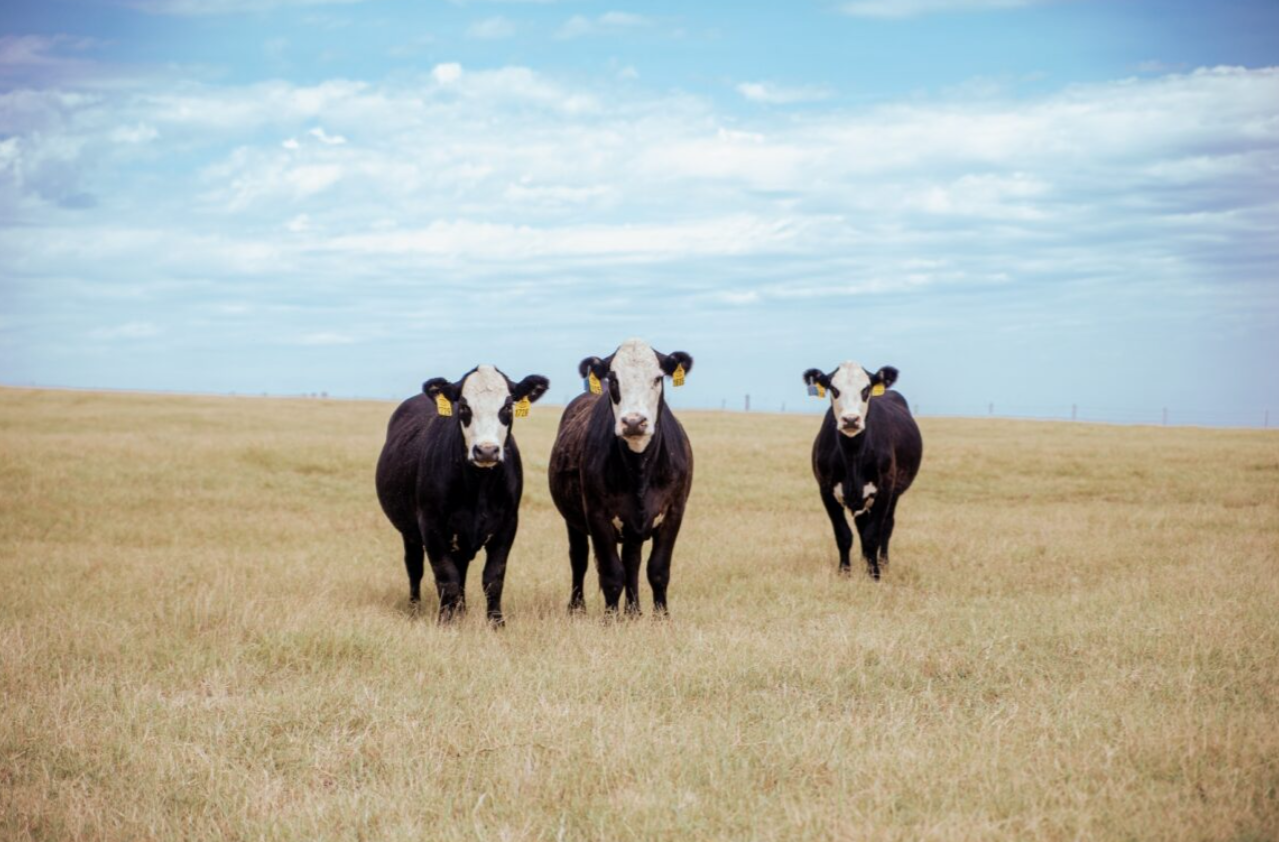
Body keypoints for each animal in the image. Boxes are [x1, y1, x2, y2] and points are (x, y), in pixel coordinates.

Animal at [375, 365, 549, 625]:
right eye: (465, 407)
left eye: (507, 407)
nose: (486, 450)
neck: (479, 488)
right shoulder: (431, 525)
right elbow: (447, 578)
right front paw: (446, 623)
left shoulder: (508, 524)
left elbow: (493, 578)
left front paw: (496, 624)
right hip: (410, 532)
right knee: (415, 569)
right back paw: (416, 609)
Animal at [548, 339, 694, 617]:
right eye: (614, 379)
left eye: (658, 378)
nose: (634, 422)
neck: (640, 470)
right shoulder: (597, 514)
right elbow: (611, 575)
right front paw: (610, 620)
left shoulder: (675, 511)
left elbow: (657, 570)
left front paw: (661, 618)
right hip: (573, 521)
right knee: (579, 558)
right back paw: (577, 608)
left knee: (632, 561)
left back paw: (634, 612)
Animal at [802, 362, 923, 580]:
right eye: (834, 389)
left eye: (866, 390)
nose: (851, 420)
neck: (853, 456)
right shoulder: (826, 490)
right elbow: (844, 534)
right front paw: (845, 572)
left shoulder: (884, 490)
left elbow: (873, 534)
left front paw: (874, 575)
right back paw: (864, 560)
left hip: (894, 493)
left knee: (887, 526)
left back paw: (882, 563)